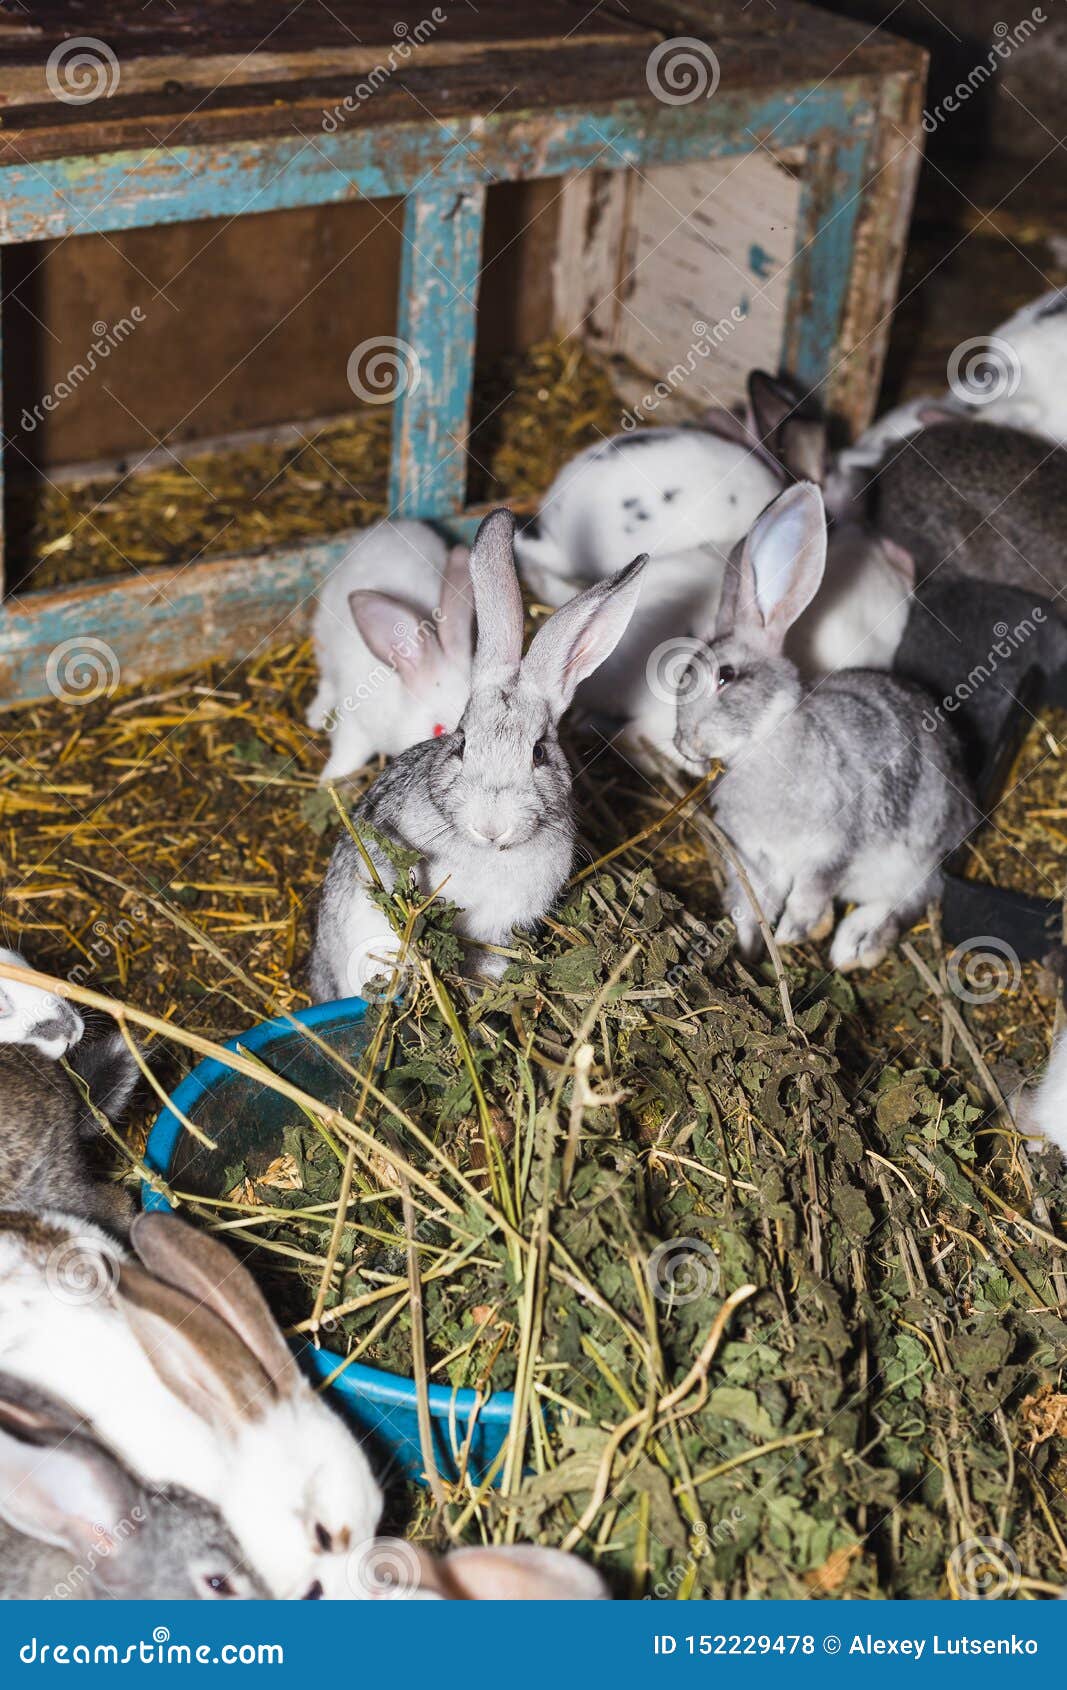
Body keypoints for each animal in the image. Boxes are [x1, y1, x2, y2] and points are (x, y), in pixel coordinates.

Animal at [307, 521, 474, 782]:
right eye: (438, 730)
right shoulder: (357, 724)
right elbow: (347, 754)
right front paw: (327, 780)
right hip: (324, 639)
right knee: (327, 683)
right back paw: (315, 717)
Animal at [673, 482, 976, 972]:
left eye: (726, 676)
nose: (685, 743)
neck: (765, 740)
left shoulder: (831, 851)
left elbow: (809, 894)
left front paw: (793, 934)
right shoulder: (756, 859)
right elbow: (750, 903)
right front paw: (749, 947)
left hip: (912, 859)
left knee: (912, 898)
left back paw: (853, 945)